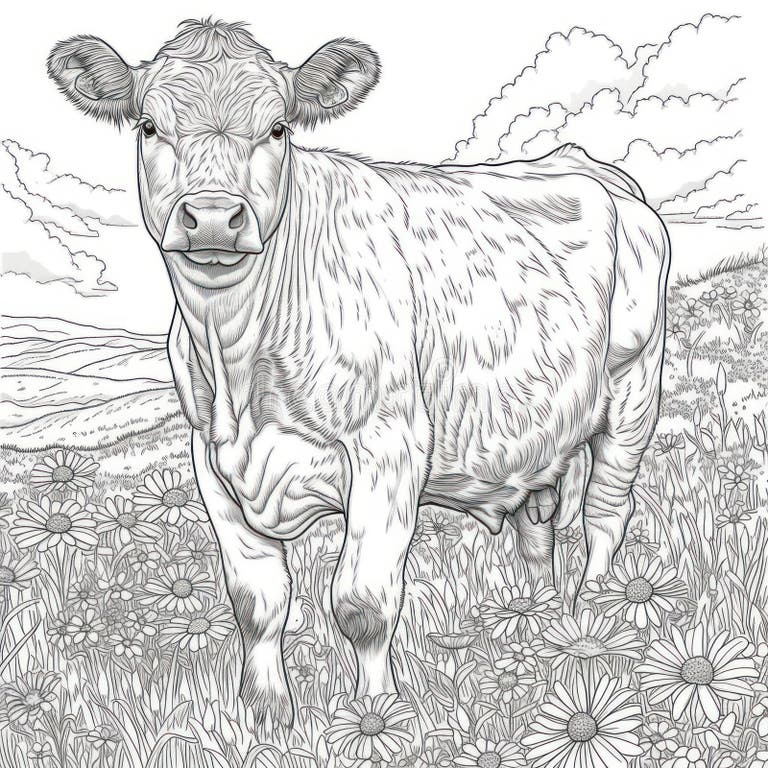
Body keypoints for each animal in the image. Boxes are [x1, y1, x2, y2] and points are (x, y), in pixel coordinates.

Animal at [48, 19, 669, 728]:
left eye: (279, 127)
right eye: (149, 125)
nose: (211, 217)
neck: (241, 371)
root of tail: (590, 166)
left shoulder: (389, 445)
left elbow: (363, 602)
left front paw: (377, 715)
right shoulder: (209, 455)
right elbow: (255, 601)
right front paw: (266, 717)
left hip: (633, 392)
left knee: (606, 514)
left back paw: (592, 617)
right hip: (534, 431)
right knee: (538, 525)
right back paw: (538, 621)